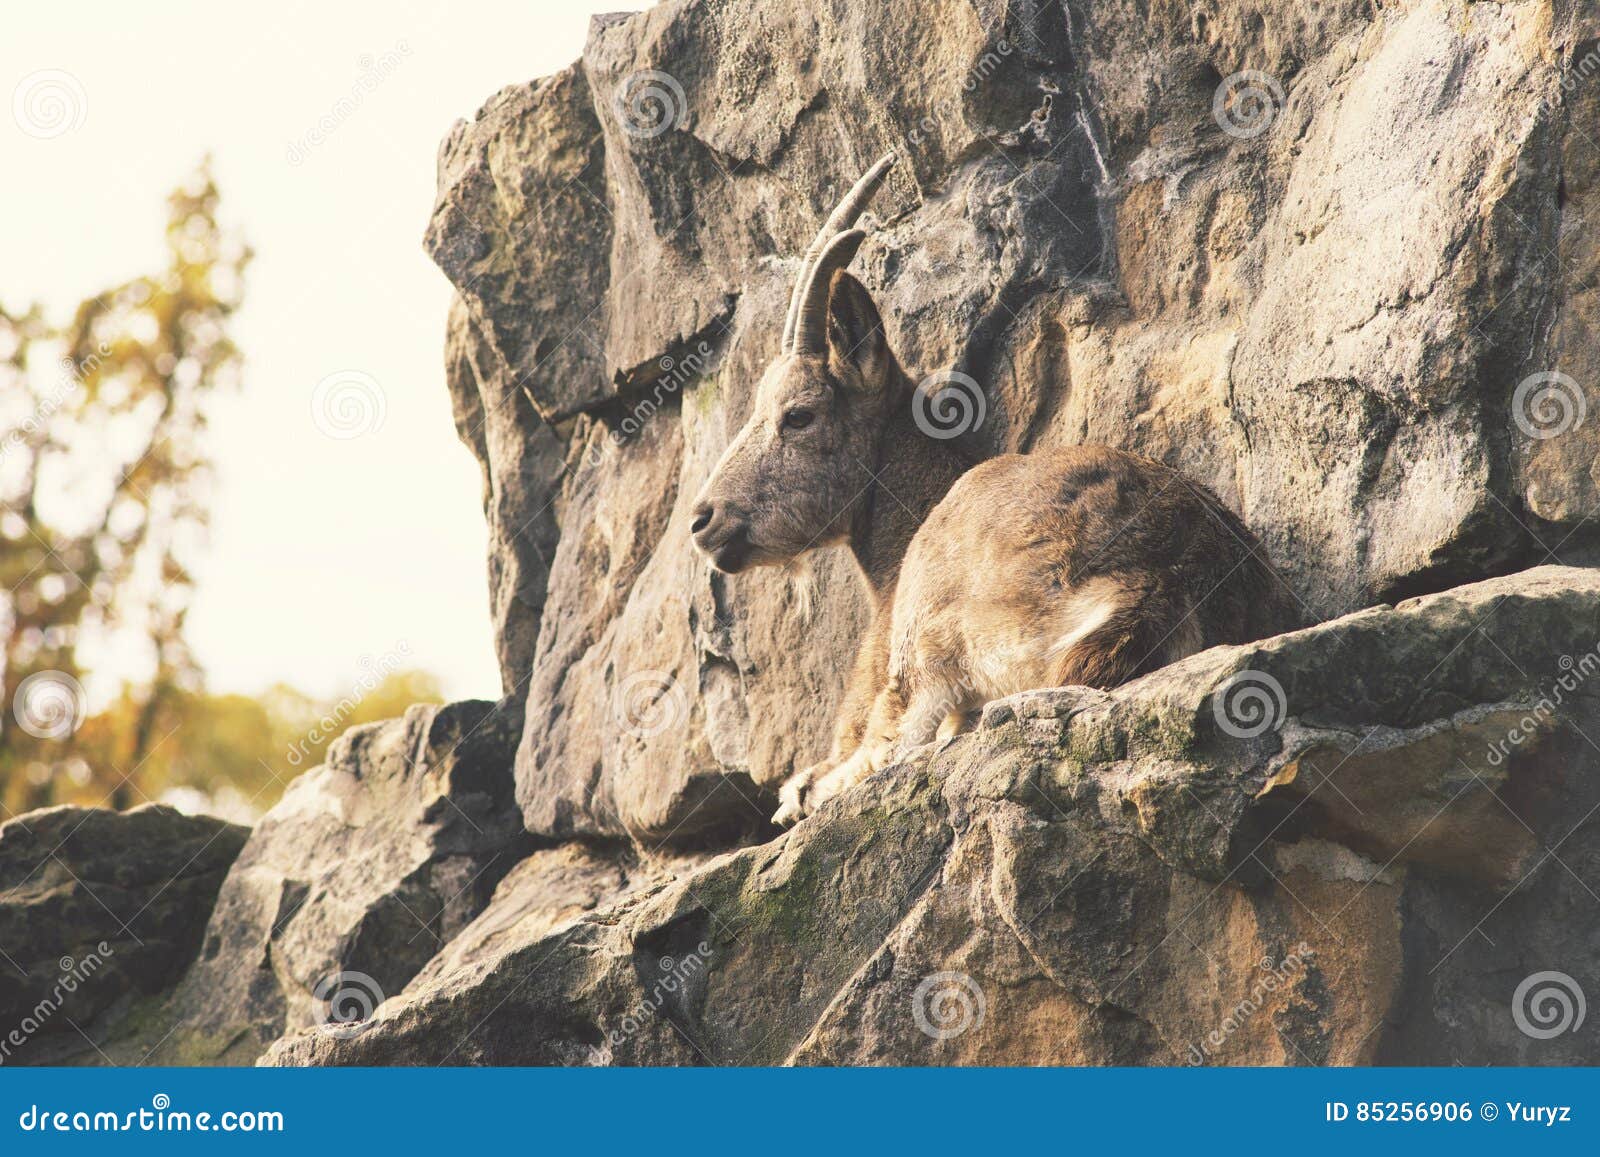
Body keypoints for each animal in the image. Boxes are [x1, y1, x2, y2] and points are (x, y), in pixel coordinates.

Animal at [690, 153, 1302, 826]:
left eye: (797, 415)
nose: (704, 519)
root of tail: (1159, 578)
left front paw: (796, 791)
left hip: (942, 639)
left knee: (904, 743)